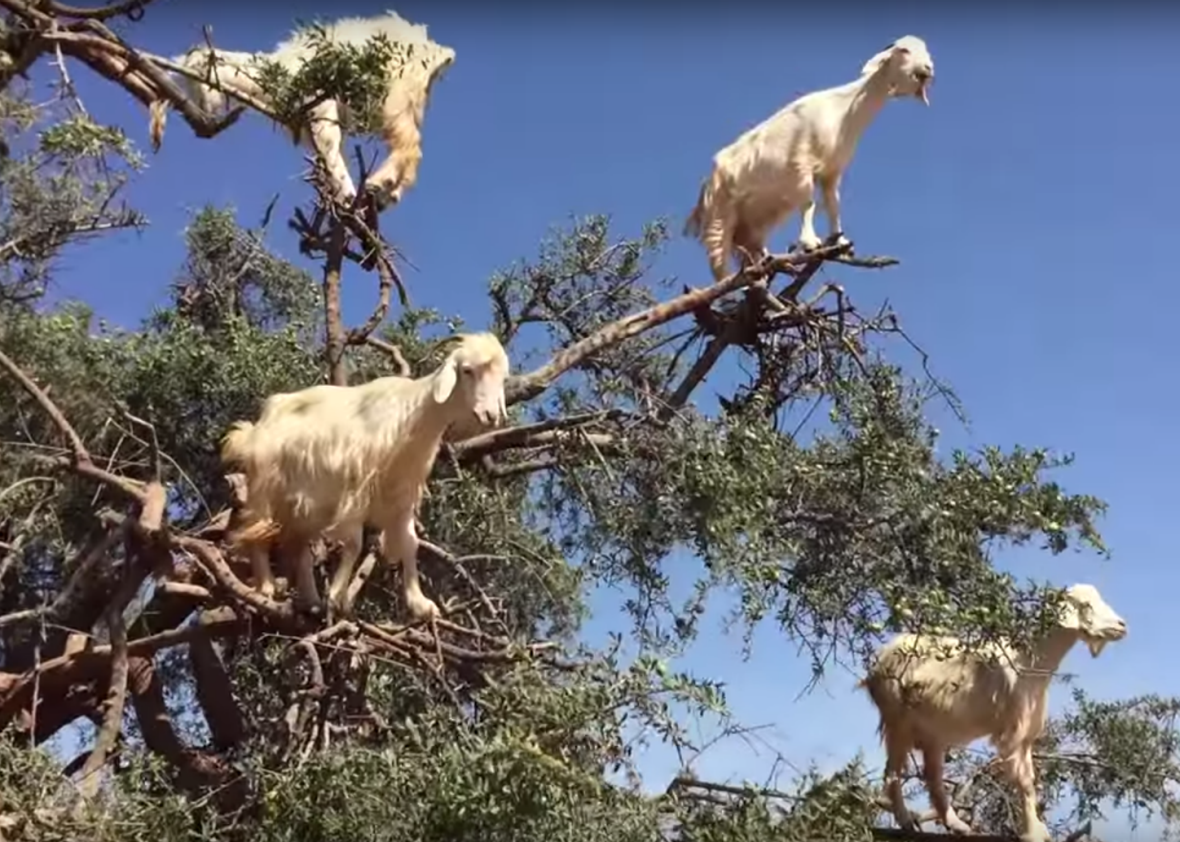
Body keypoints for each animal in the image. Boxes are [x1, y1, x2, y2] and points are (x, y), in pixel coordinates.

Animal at [166, 11, 455, 210]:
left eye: (198, 75)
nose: (205, 118)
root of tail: (439, 51)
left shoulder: (319, 100)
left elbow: (330, 144)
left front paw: (348, 196)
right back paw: (389, 195)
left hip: (395, 93)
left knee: (410, 145)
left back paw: (378, 184)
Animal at [220, 333, 510, 621]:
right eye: (467, 370)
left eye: (502, 378)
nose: (490, 416)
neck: (414, 416)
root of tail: (257, 424)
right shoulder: (356, 488)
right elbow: (353, 543)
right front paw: (338, 597)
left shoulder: (402, 494)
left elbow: (410, 543)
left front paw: (420, 604)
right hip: (266, 488)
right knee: (256, 533)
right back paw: (267, 587)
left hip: (305, 506)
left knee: (300, 550)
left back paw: (311, 600)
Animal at [685, 36, 934, 282]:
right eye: (903, 50)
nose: (928, 68)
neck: (843, 111)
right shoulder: (801, 163)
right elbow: (808, 203)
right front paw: (810, 243)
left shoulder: (832, 171)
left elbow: (833, 205)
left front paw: (841, 244)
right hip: (719, 219)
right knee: (719, 264)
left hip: (751, 223)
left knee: (751, 250)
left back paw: (765, 266)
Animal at [859, 583, 1127, 842]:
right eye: (1086, 605)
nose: (1121, 625)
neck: (1028, 659)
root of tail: (879, 660)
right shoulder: (1013, 732)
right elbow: (1025, 783)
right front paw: (1033, 833)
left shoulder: (1026, 735)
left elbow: (1030, 780)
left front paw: (1037, 829)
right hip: (897, 719)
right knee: (894, 771)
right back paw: (905, 819)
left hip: (933, 730)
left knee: (931, 775)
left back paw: (956, 825)